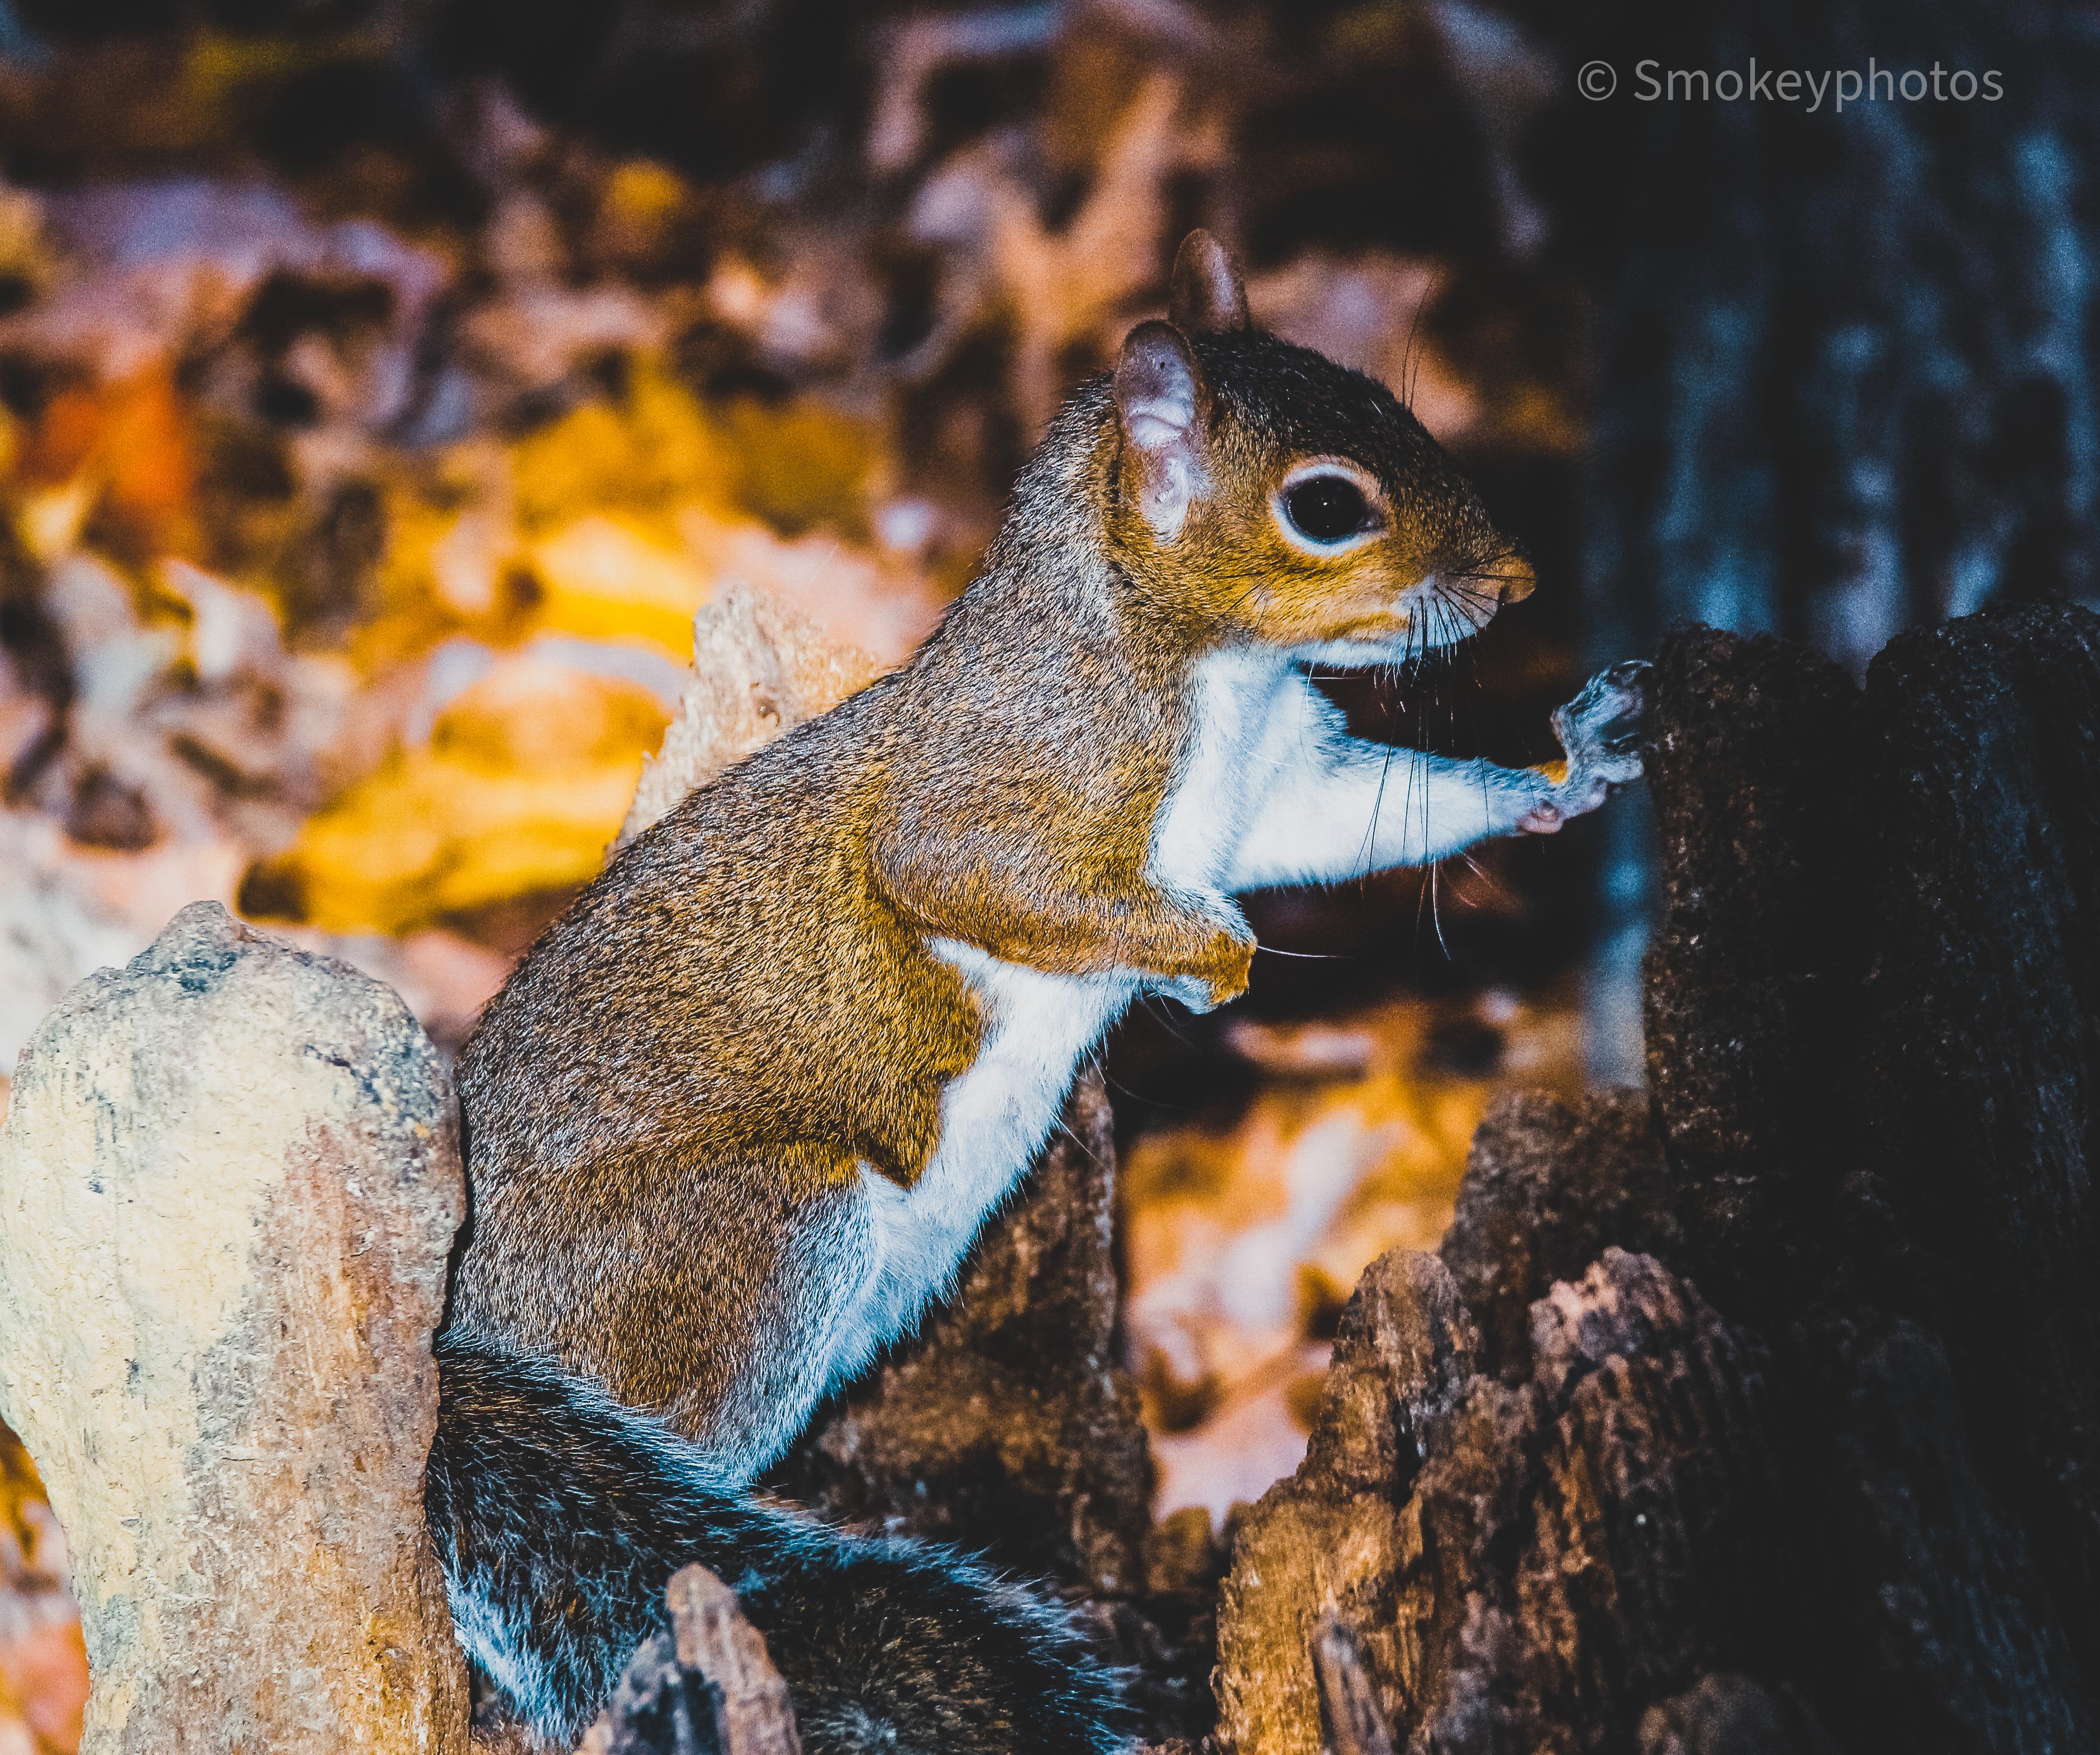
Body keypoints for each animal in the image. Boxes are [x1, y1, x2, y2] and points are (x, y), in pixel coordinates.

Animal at [424, 231, 1646, 1752]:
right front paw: (1211, 961)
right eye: (1325, 505)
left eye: (1388, 403)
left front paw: (1566, 772)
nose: (1517, 582)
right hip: (740, 1247)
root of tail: (452, 1340)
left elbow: (1359, 820)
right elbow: (969, 876)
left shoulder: (1274, 788)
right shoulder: (1007, 781)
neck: (1207, 669)